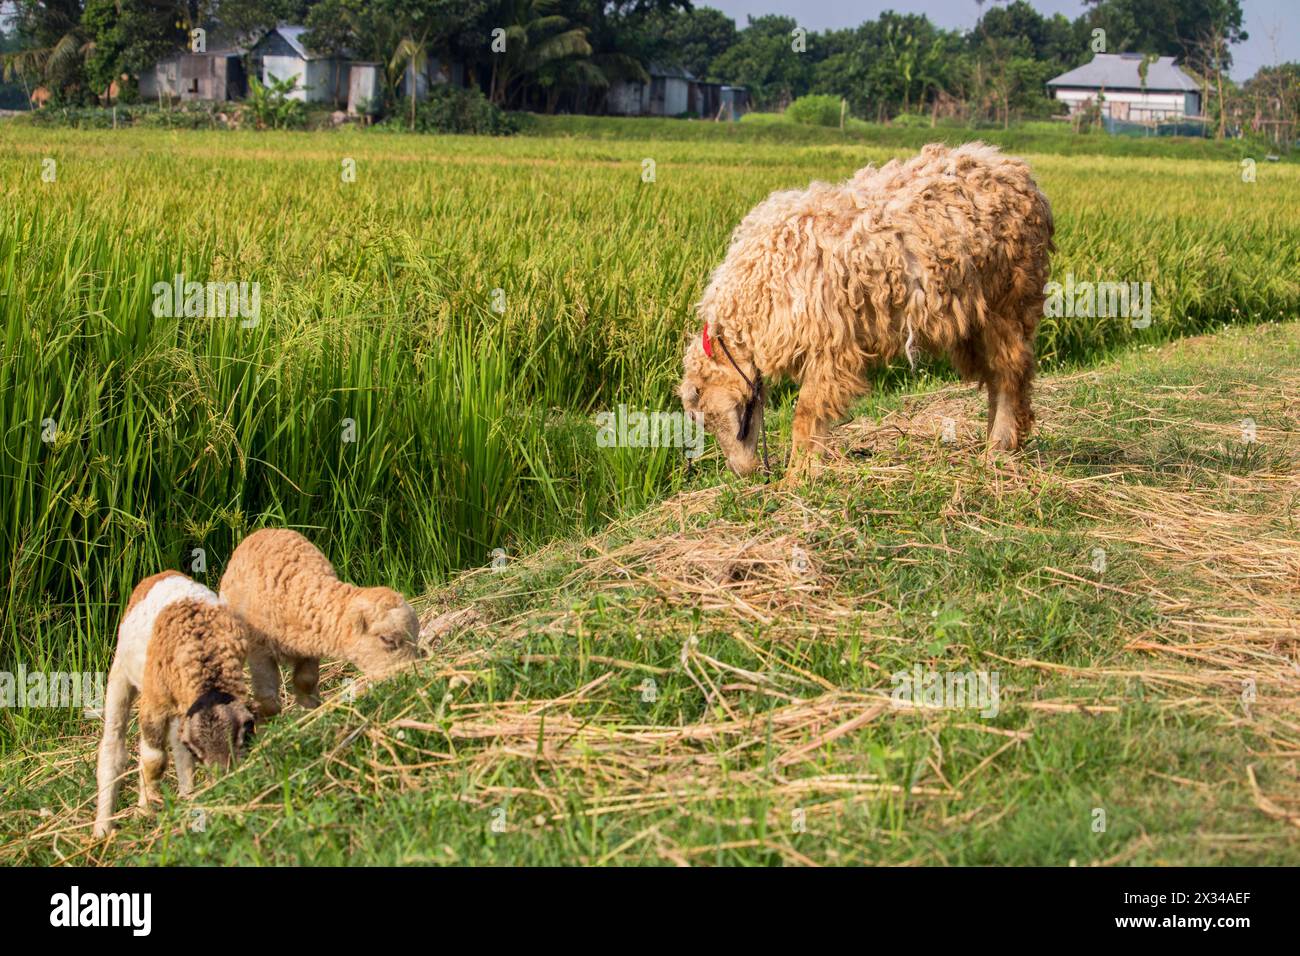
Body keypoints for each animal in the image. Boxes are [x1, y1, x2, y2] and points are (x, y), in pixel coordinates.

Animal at [94, 571, 254, 839]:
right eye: (199, 750)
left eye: (239, 738)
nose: (223, 780)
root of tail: (162, 573)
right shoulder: (153, 703)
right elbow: (154, 761)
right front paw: (143, 813)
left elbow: (181, 754)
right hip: (121, 676)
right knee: (113, 748)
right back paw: (102, 830)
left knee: (177, 751)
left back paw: (186, 796)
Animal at [218, 529, 421, 718]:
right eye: (387, 640)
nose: (410, 676)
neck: (291, 596)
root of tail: (265, 530)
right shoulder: (258, 650)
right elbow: (268, 699)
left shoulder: (310, 646)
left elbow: (306, 680)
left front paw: (311, 708)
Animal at [679, 142, 1055, 478]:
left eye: (713, 415)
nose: (743, 472)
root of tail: (1019, 173)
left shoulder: (829, 346)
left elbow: (806, 412)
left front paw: (797, 476)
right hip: (977, 318)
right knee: (999, 375)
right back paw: (1000, 441)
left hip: (1008, 301)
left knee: (1010, 372)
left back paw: (999, 447)